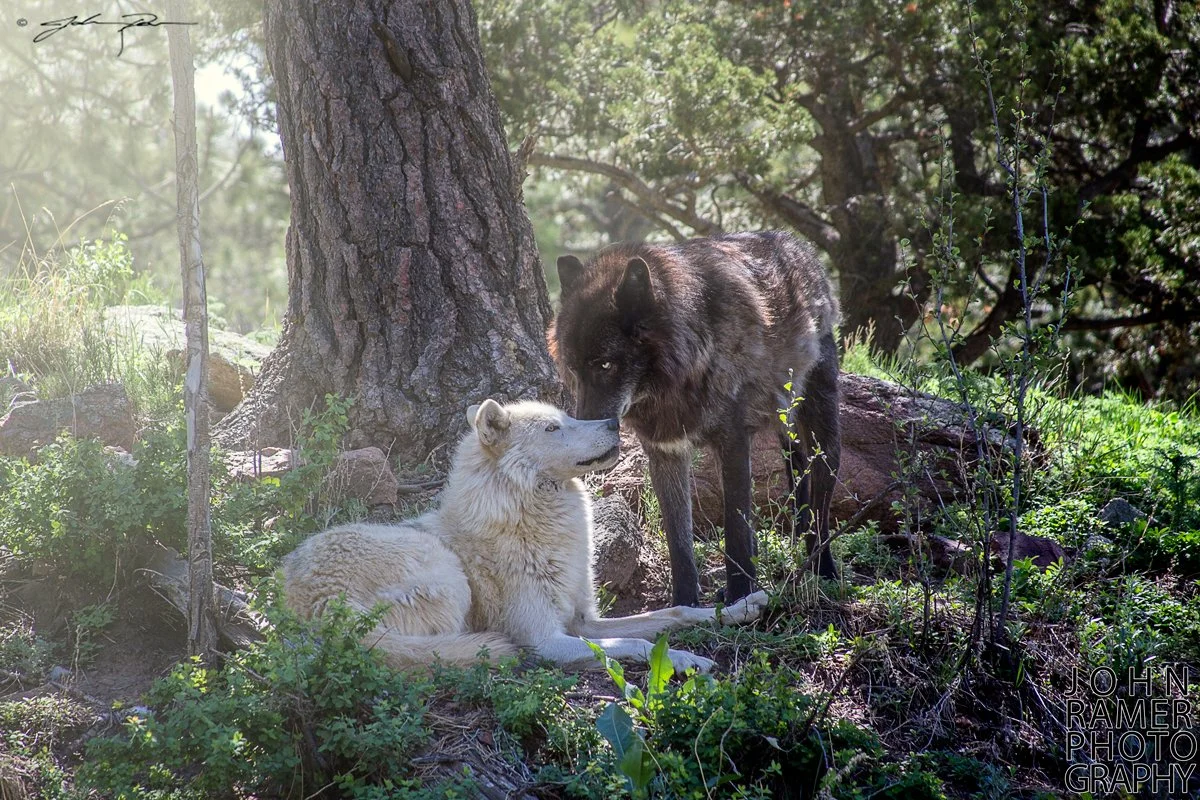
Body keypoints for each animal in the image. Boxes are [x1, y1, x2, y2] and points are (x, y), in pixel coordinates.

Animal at [281, 399, 768, 672]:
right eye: (553, 428)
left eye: (569, 416)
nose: (613, 422)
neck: (536, 520)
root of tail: (313, 612)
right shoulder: (547, 639)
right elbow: (637, 642)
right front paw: (686, 660)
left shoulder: (582, 619)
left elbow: (673, 614)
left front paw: (741, 607)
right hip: (448, 575)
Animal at [549, 231, 841, 607]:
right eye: (572, 369)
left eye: (605, 365)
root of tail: (797, 246)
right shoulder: (665, 452)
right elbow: (679, 544)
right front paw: (685, 605)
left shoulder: (733, 442)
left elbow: (736, 531)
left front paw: (741, 598)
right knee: (797, 479)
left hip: (822, 435)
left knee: (820, 505)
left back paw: (824, 572)